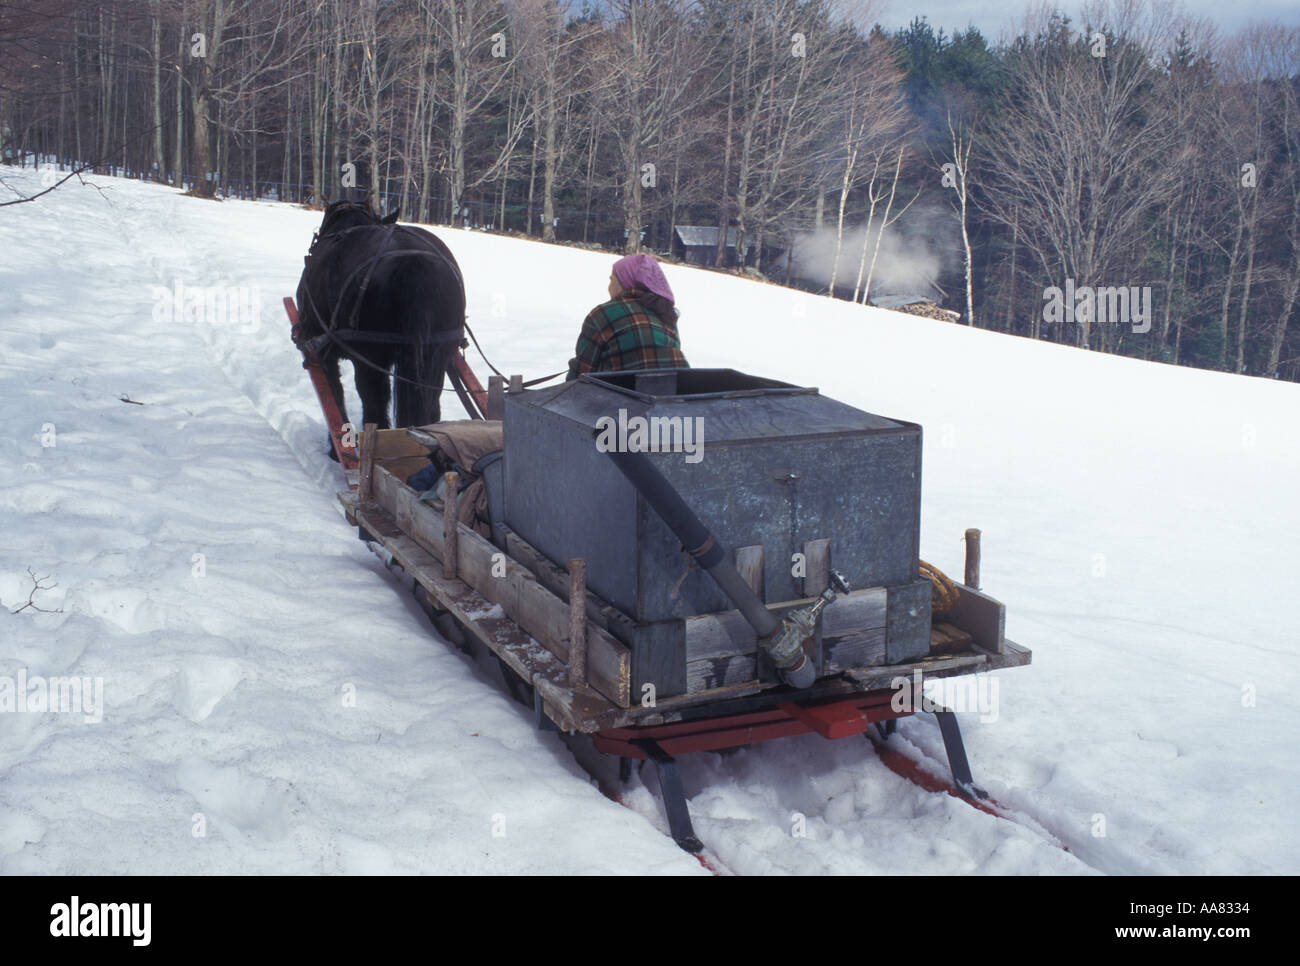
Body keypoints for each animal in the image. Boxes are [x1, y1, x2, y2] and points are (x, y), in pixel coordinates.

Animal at [293, 200, 465, 455]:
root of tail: (414, 261)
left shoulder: (321, 351)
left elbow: (333, 396)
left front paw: (336, 449)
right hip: (436, 356)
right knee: (431, 408)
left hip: (369, 358)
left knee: (374, 408)